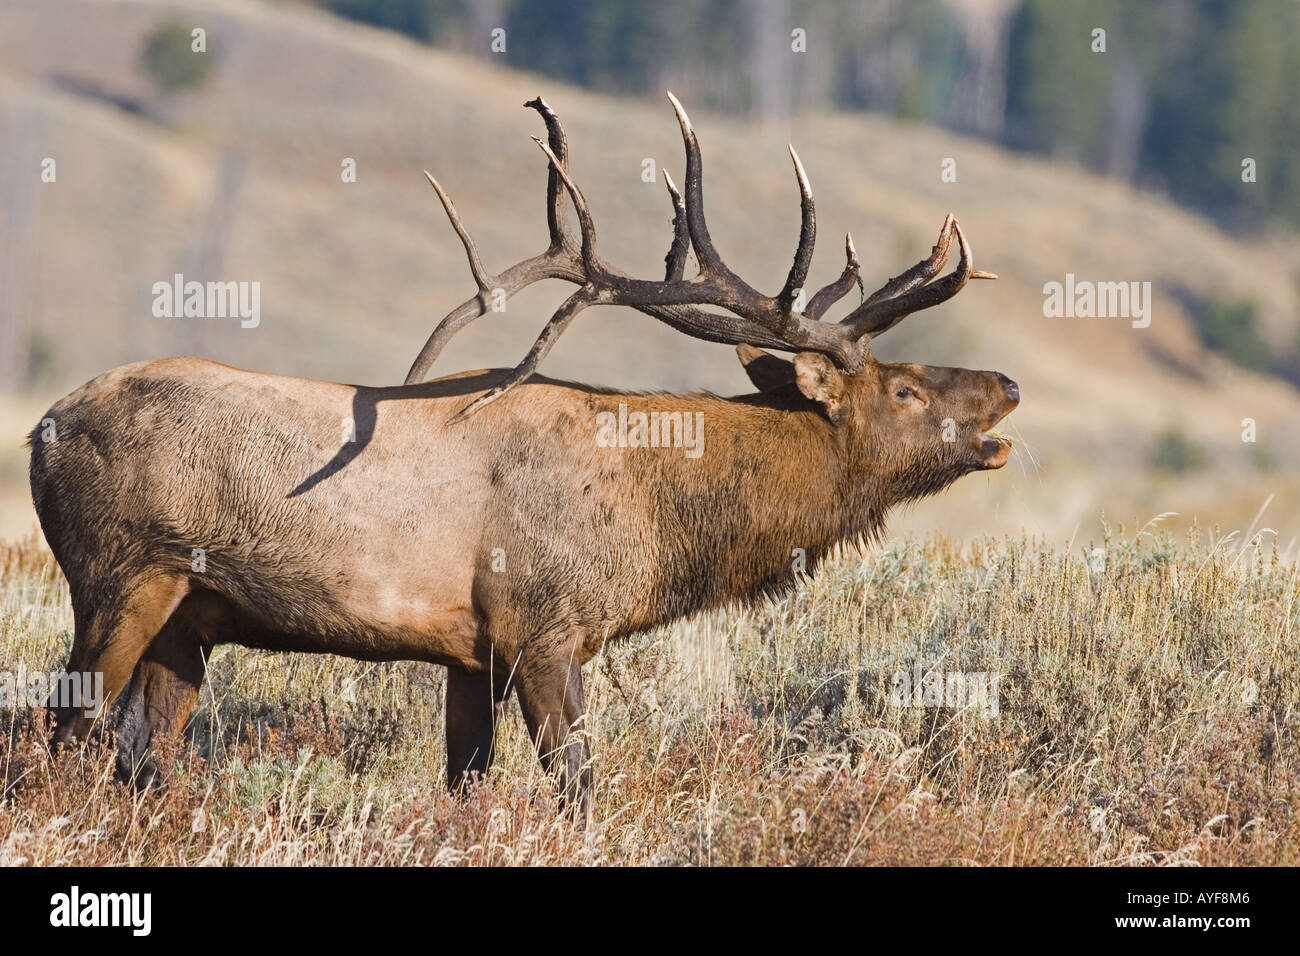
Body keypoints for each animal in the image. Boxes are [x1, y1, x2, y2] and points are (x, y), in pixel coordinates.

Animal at [29, 95, 1017, 817]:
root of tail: (41, 429)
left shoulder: (470, 653)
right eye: (904, 390)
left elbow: (467, 783)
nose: (1005, 384)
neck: (657, 528)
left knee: (142, 753)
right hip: (119, 576)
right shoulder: (543, 626)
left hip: (189, 616)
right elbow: (577, 787)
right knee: (65, 731)